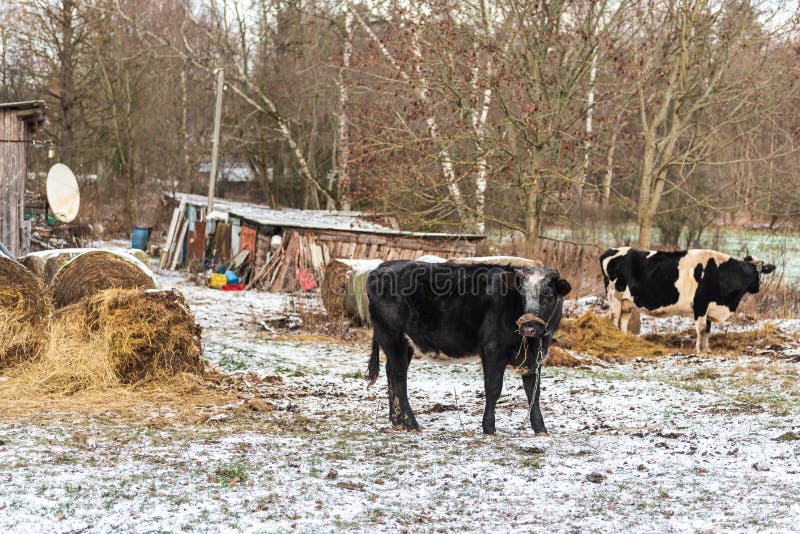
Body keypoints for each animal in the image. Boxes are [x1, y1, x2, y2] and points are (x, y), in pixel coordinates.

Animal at [365, 260, 571, 435]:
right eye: (521, 293)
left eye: (548, 292)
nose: (529, 326)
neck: (532, 342)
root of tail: (382, 267)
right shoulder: (493, 350)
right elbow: (493, 388)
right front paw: (489, 428)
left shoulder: (535, 358)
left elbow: (533, 392)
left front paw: (540, 428)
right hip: (392, 335)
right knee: (399, 376)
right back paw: (410, 423)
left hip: (404, 342)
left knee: (391, 371)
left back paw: (397, 420)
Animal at [600, 247, 776, 352]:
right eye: (757, 272)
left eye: (761, 270)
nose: (757, 288)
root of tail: (611, 250)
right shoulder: (700, 304)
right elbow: (702, 329)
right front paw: (699, 351)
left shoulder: (709, 308)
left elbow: (708, 330)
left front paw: (707, 350)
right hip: (614, 298)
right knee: (613, 319)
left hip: (626, 303)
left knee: (623, 322)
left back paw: (623, 338)